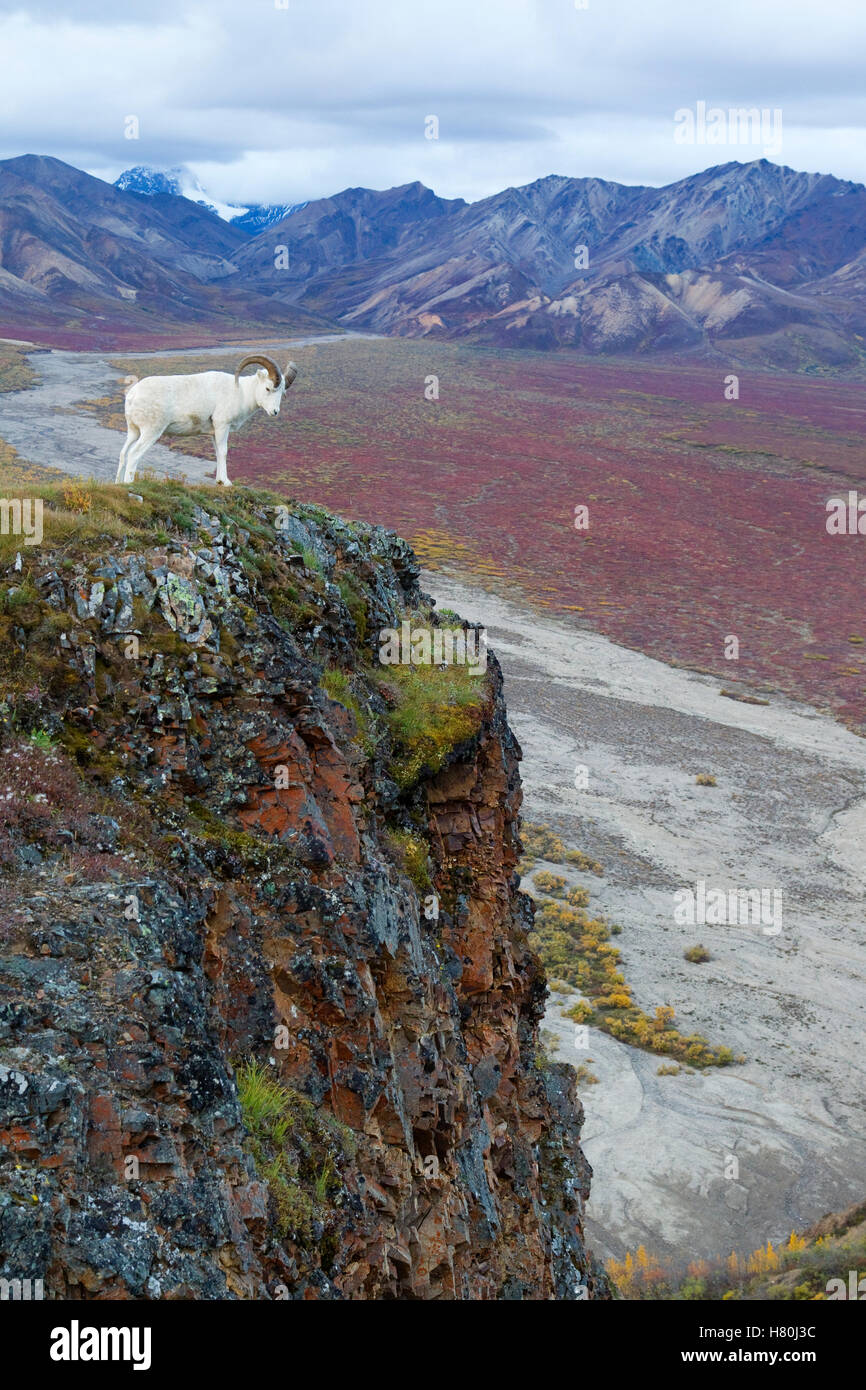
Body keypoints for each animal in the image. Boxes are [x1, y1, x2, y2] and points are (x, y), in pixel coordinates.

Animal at [115, 354, 298, 487]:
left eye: (282, 392)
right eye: (268, 388)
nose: (274, 412)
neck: (241, 392)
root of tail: (132, 395)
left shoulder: (214, 432)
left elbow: (217, 453)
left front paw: (219, 481)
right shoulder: (223, 426)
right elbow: (224, 452)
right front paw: (227, 483)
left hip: (133, 431)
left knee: (123, 453)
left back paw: (118, 483)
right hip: (151, 432)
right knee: (133, 454)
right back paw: (129, 483)